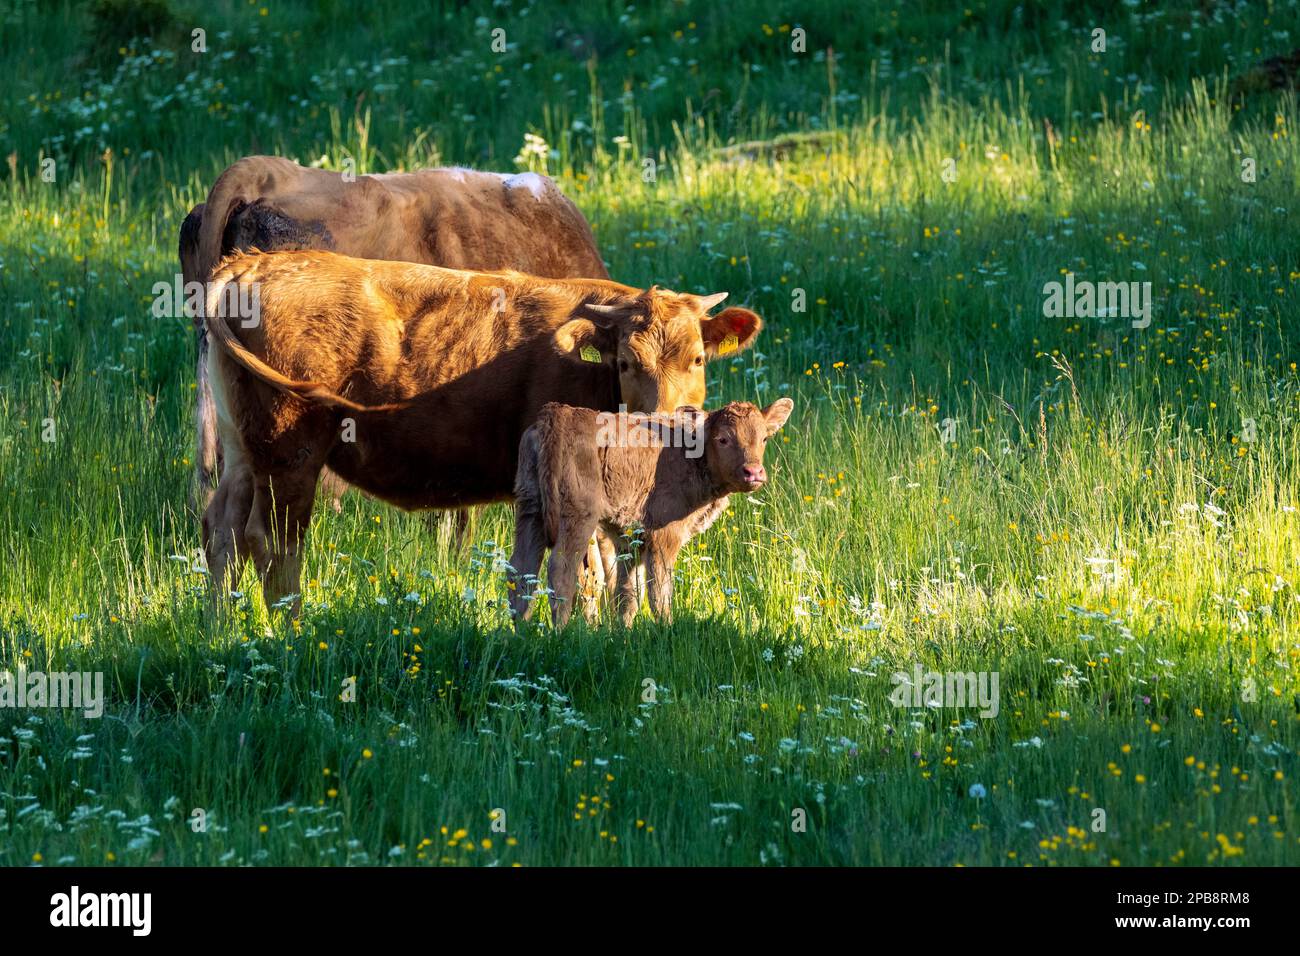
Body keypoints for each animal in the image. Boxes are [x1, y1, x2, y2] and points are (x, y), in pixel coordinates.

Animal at [200, 249, 764, 617]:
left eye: (697, 358)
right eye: (627, 361)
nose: (669, 419)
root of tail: (259, 262)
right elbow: (586, 572)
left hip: (242, 449)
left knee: (223, 528)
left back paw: (221, 629)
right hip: (289, 453)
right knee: (274, 542)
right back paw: (290, 634)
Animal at [508, 399, 795, 627]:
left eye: (764, 438)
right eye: (723, 439)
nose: (753, 472)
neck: (689, 453)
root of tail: (558, 413)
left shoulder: (632, 540)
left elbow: (627, 594)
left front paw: (624, 634)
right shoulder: (664, 535)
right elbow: (659, 591)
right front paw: (666, 629)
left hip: (530, 507)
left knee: (521, 569)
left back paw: (520, 632)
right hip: (577, 517)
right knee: (561, 570)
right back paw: (559, 631)